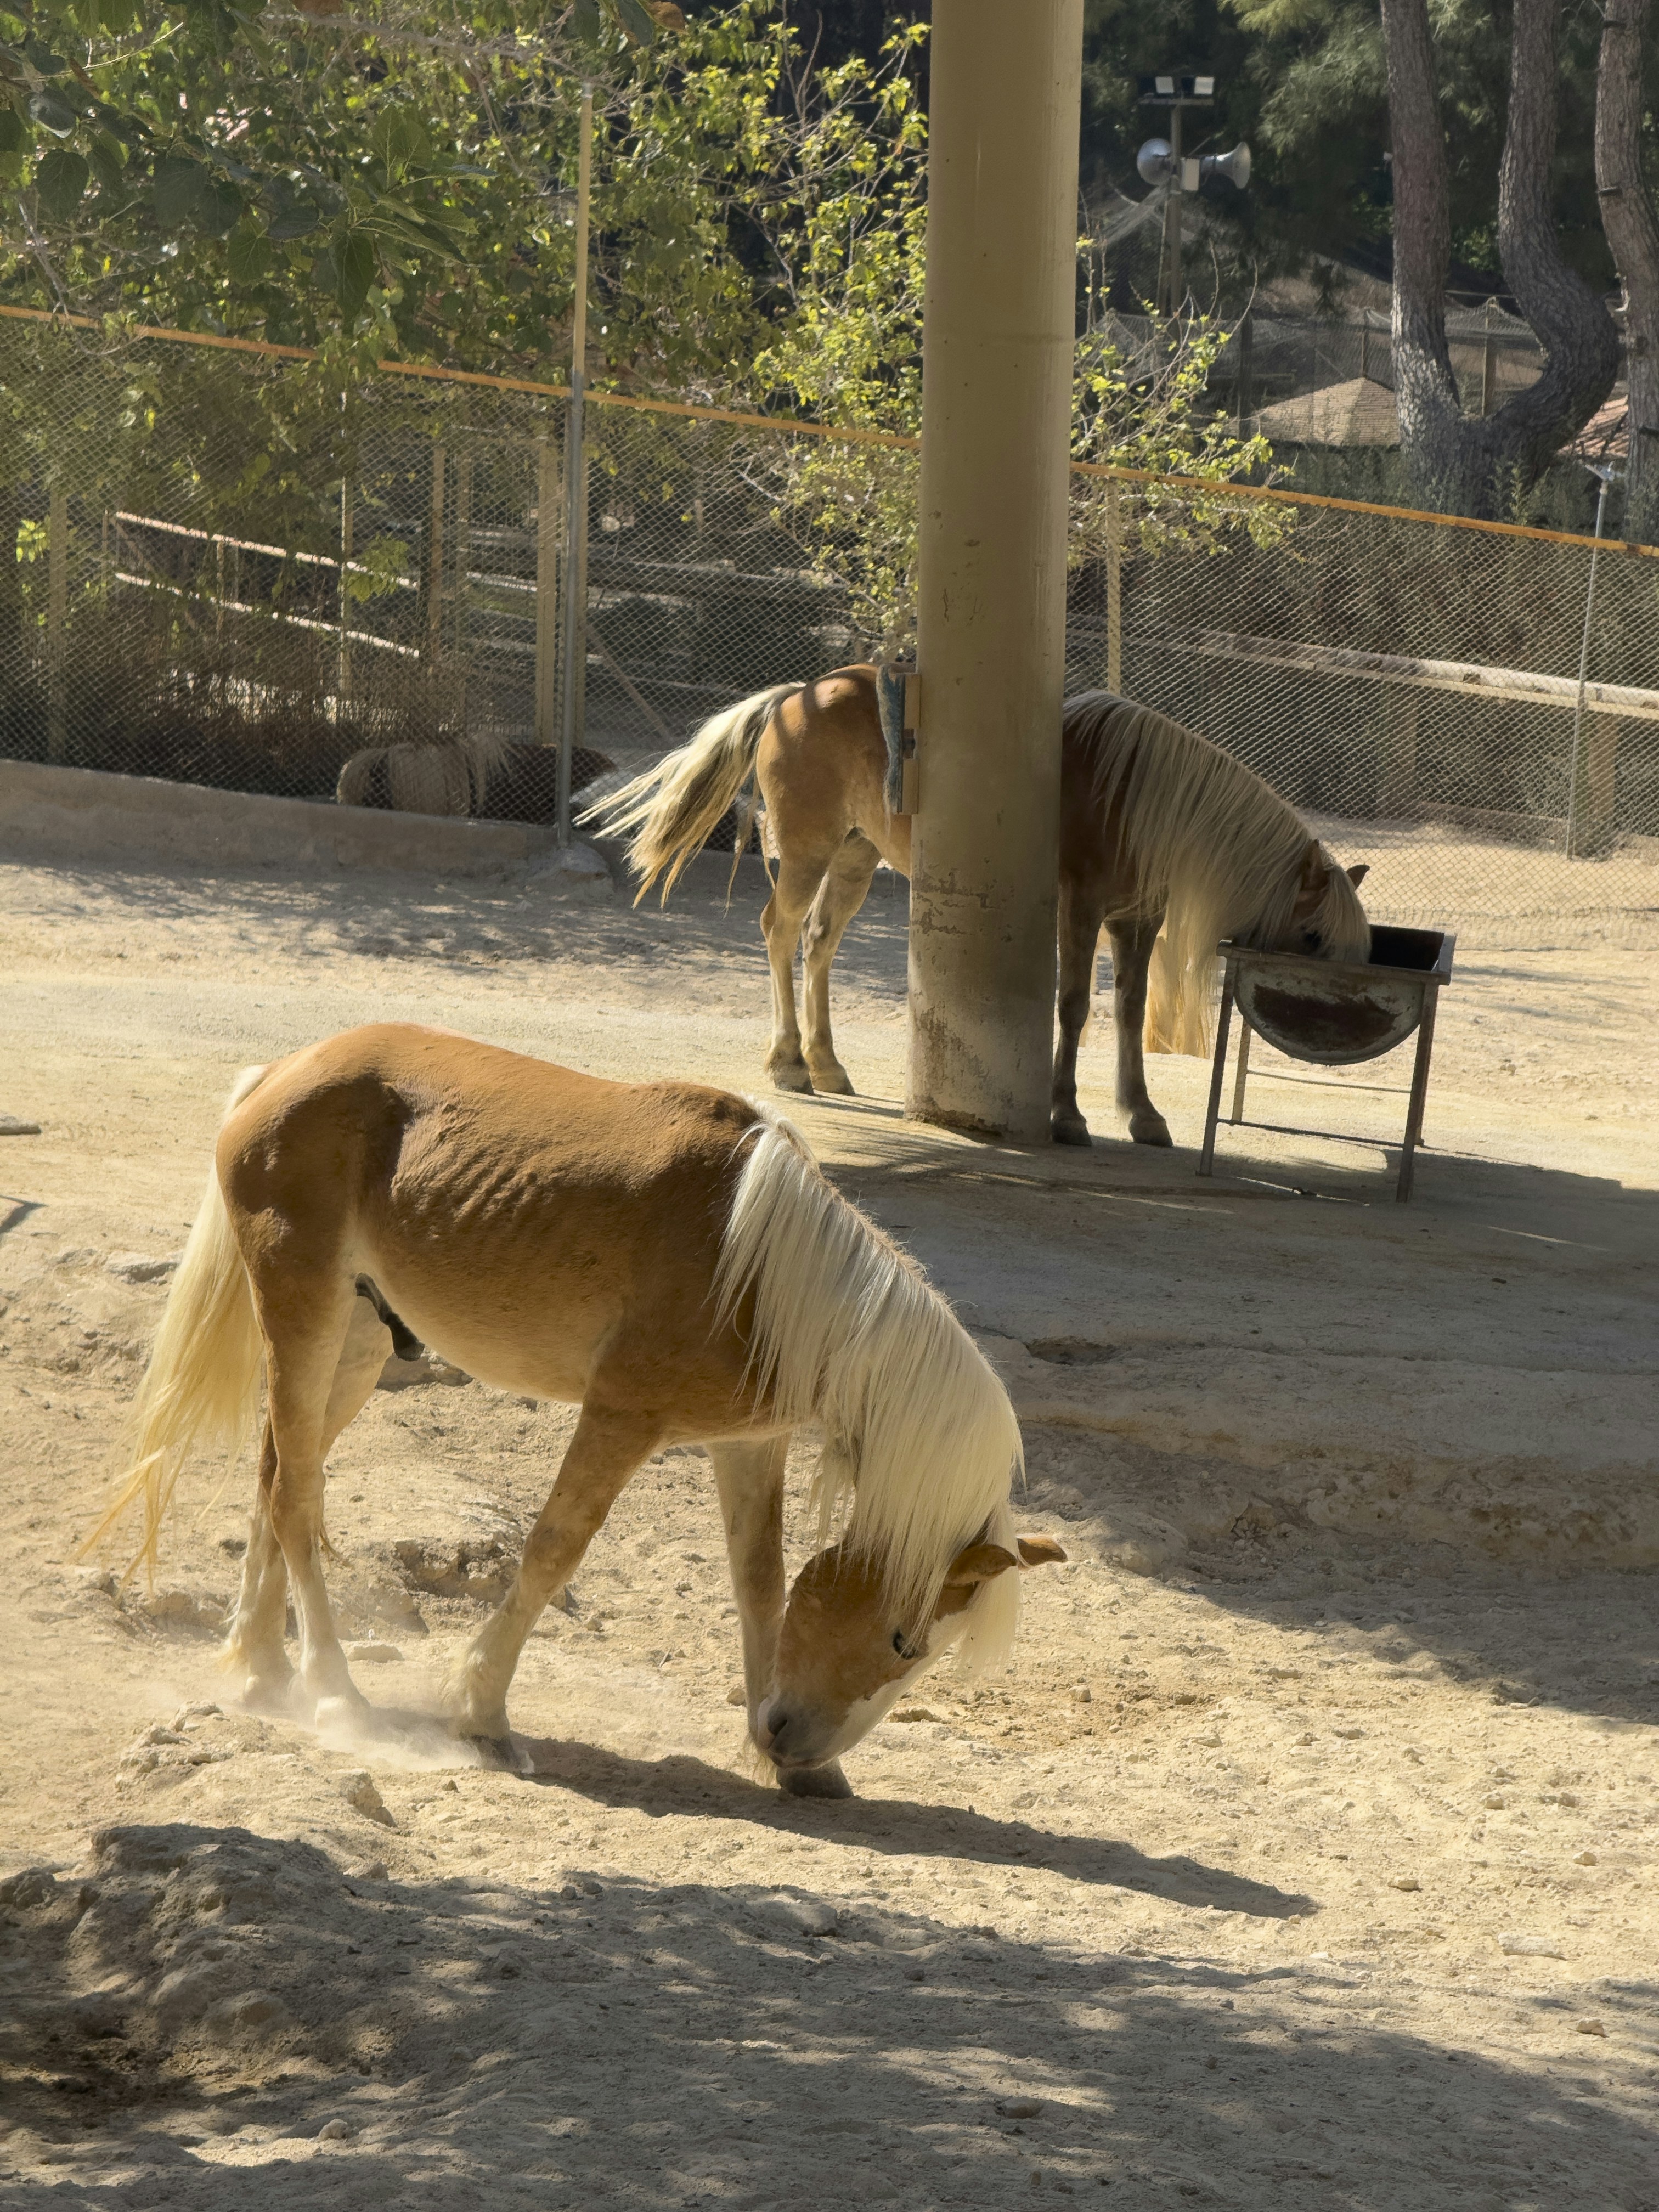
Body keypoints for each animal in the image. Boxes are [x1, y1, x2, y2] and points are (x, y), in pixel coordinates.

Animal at [84, 1024, 1062, 1797]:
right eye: (904, 1642)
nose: (793, 1740)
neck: (767, 1276)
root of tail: (281, 1074)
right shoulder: (622, 1417)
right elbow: (555, 1548)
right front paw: (480, 1714)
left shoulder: (749, 1445)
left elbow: (759, 1582)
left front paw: (786, 1763)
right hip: (306, 1314)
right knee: (296, 1498)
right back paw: (333, 1694)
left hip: (356, 1344)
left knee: (278, 1474)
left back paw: (260, 1675)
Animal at [590, 669, 1371, 1147]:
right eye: (1311, 936)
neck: (1134, 794)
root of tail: (798, 696)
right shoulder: (1081, 909)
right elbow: (1075, 1006)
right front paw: (1067, 1114)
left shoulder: (1137, 921)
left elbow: (1126, 1012)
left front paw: (1143, 1115)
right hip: (809, 854)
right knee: (780, 935)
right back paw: (788, 1063)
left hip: (855, 860)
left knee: (818, 944)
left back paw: (827, 1063)